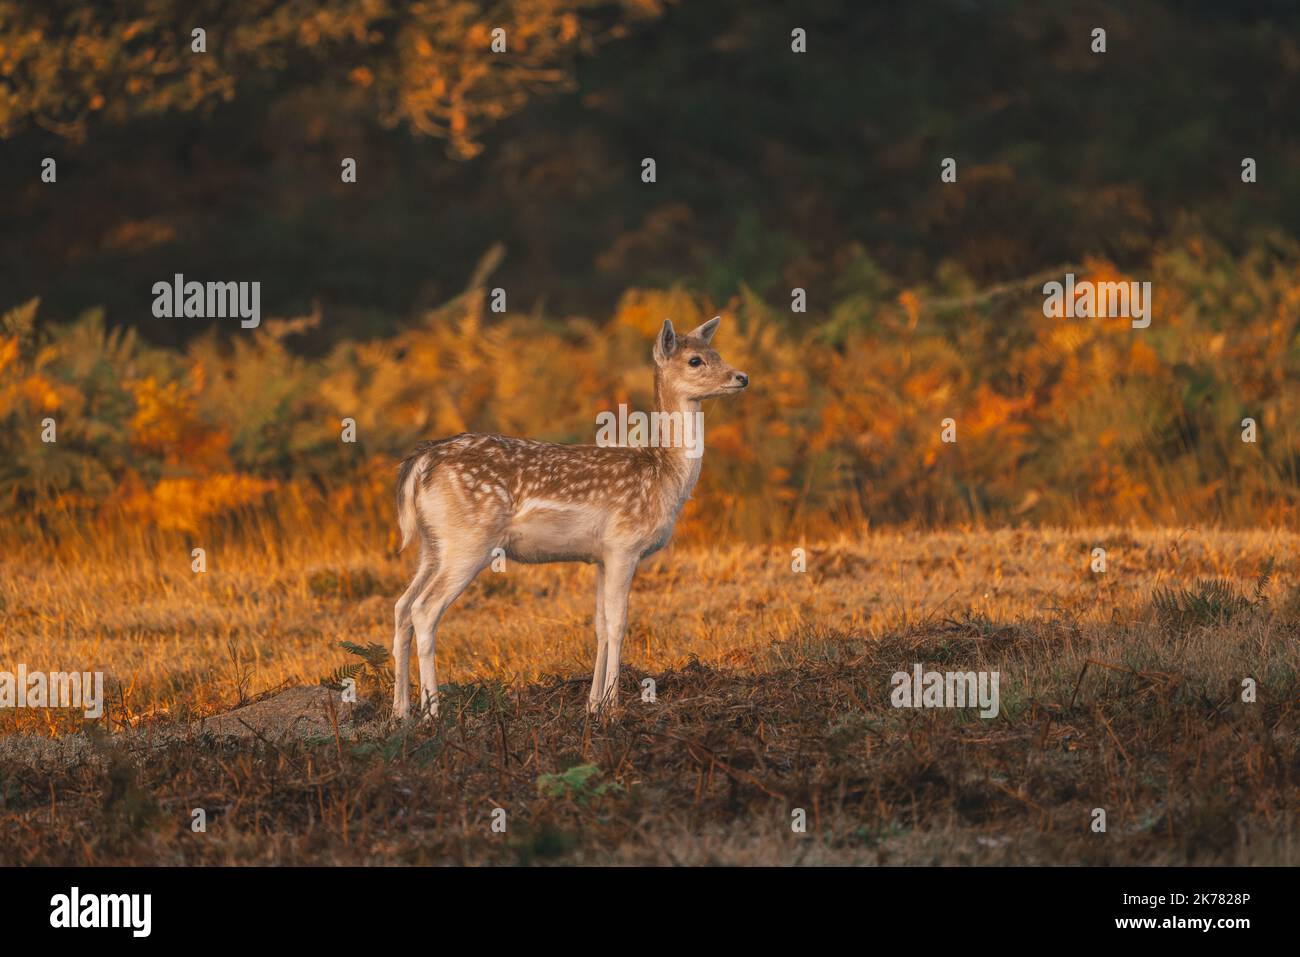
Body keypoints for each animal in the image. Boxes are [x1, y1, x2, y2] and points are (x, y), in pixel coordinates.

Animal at [391, 316, 748, 719]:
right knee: (424, 609)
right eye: (695, 360)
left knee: (402, 606)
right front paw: (612, 707)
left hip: (433, 544)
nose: (741, 377)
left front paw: (593, 705)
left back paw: (400, 712)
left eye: (715, 352)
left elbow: (600, 624)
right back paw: (432, 713)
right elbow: (619, 622)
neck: (663, 477)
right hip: (469, 540)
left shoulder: (601, 555)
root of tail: (422, 460)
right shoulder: (624, 545)